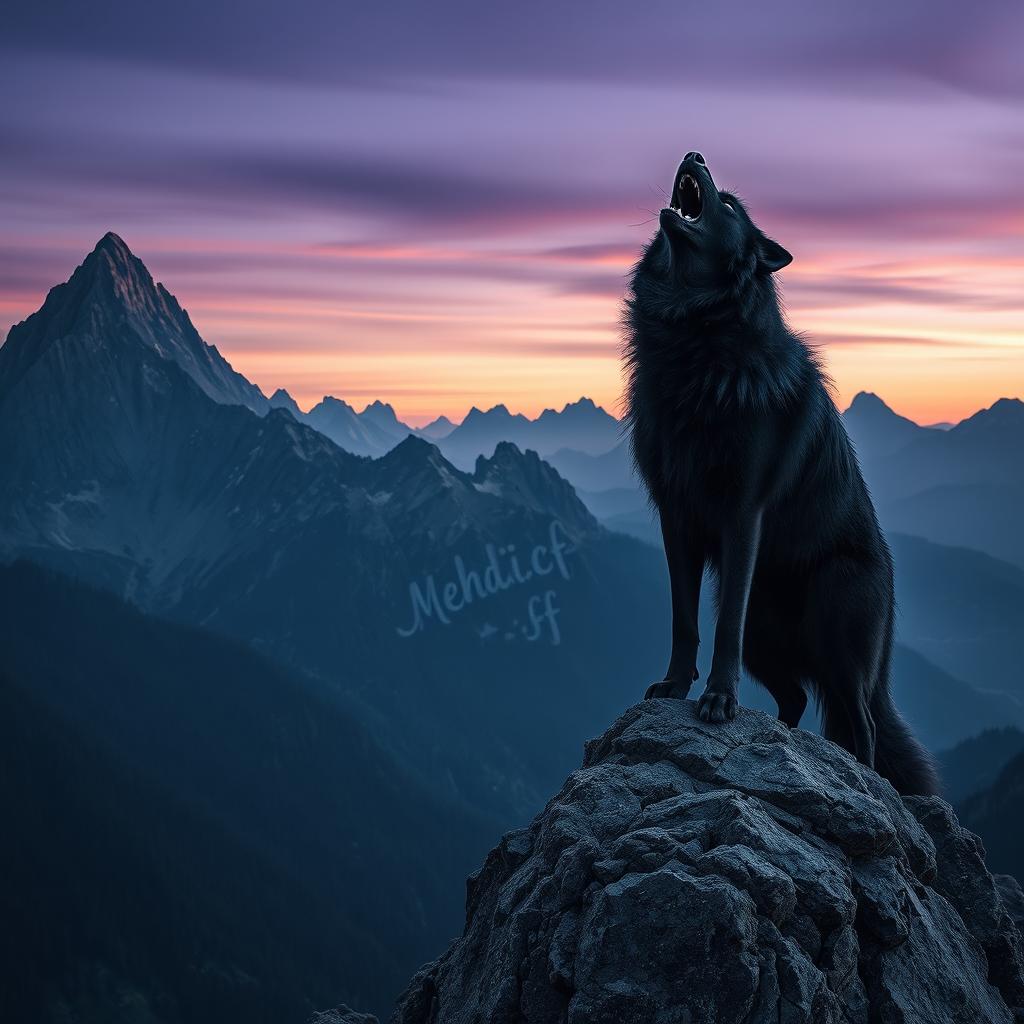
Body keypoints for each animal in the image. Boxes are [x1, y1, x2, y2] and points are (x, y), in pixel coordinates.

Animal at [624, 151, 938, 796]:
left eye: (729, 204)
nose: (694, 155)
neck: (695, 343)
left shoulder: (743, 512)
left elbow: (722, 627)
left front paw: (717, 701)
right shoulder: (676, 517)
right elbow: (684, 621)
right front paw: (676, 687)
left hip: (838, 640)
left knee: (864, 723)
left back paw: (860, 780)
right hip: (767, 644)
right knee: (793, 697)